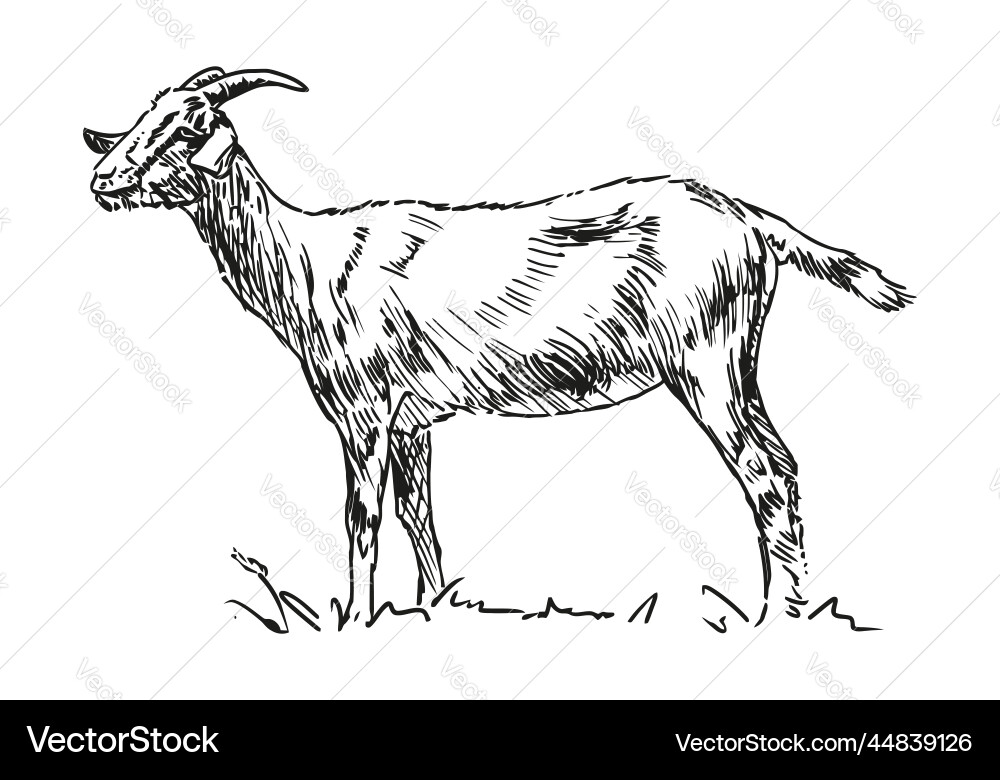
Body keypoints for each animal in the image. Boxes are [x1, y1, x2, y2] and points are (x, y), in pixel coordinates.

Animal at [84, 67, 912, 627]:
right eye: (139, 119)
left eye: (189, 126)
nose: (102, 178)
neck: (314, 264)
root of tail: (747, 217)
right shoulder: (413, 421)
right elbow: (419, 514)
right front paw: (433, 609)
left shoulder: (363, 411)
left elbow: (362, 517)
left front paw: (355, 621)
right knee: (781, 466)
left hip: (710, 364)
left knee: (767, 472)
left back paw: (779, 618)